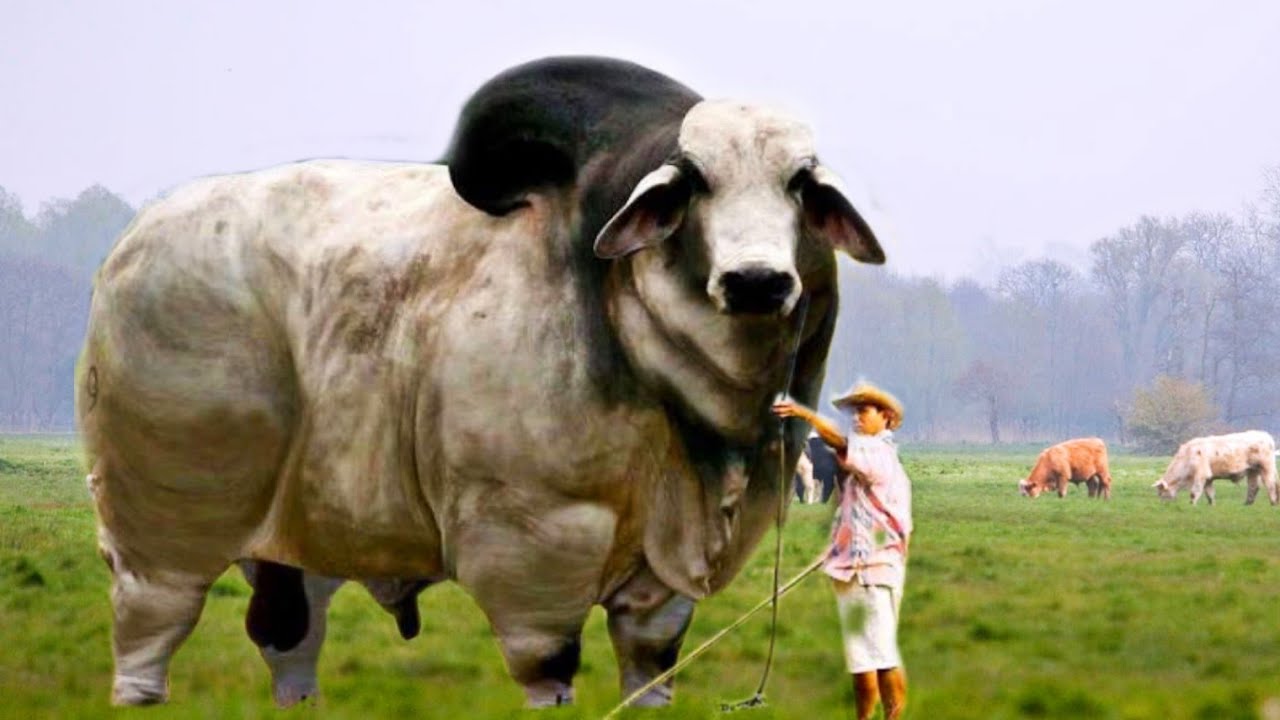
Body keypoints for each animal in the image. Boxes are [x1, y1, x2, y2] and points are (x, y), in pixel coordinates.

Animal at [76, 55, 886, 708]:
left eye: (799, 183)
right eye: (694, 183)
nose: (756, 280)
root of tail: (129, 246)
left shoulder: (659, 589)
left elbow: (651, 664)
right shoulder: (530, 550)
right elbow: (548, 666)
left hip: (294, 544)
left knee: (290, 637)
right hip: (163, 534)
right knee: (149, 638)